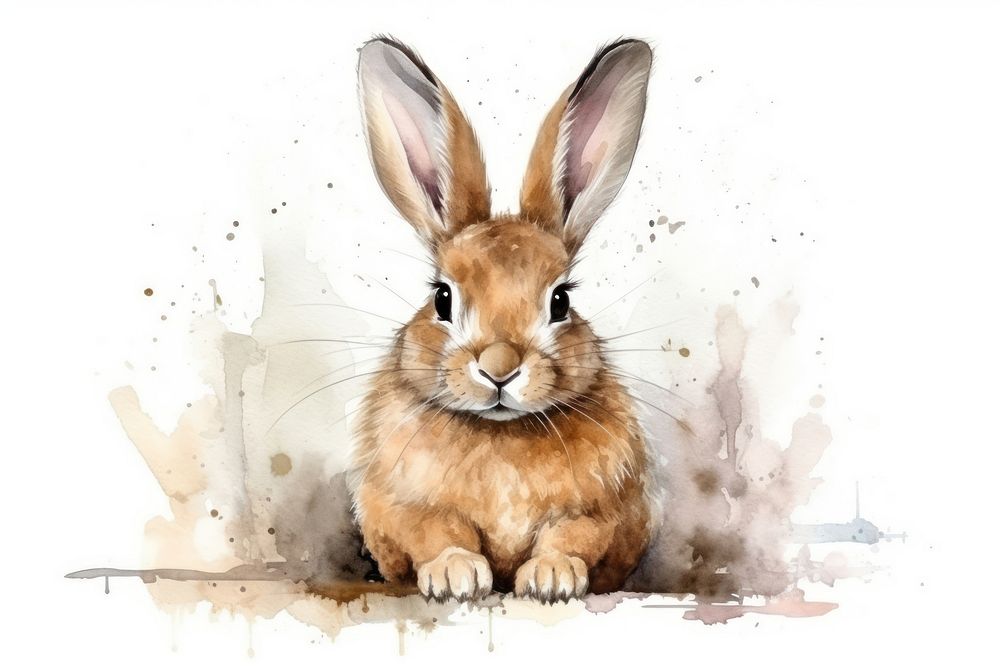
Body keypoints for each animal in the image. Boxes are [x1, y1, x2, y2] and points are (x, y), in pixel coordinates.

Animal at [346, 36, 655, 603]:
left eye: (560, 301)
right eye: (443, 298)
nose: (499, 367)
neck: (501, 433)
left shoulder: (602, 512)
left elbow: (572, 534)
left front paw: (552, 577)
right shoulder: (404, 506)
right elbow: (435, 530)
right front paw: (455, 575)